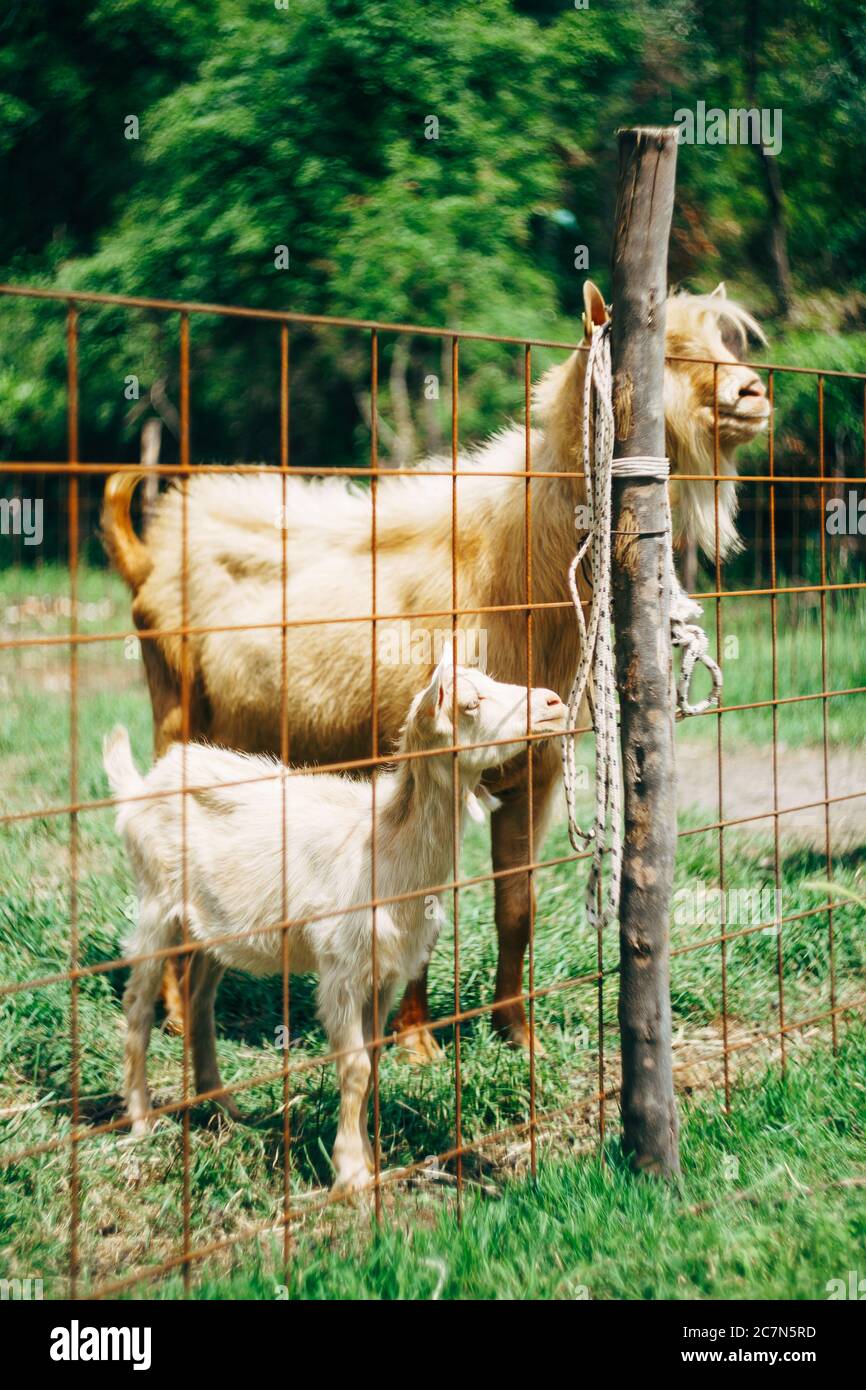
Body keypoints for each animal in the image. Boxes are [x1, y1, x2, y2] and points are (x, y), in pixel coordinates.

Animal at [102, 280, 770, 1058]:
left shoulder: (536, 773)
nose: (754, 392)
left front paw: (517, 1032)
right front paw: (417, 1042)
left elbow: (517, 905)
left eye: (726, 342)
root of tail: (150, 553)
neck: (512, 558)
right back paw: (178, 1017)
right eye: (663, 346)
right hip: (173, 707)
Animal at [104, 656, 567, 1192]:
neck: (385, 843)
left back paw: (222, 1109)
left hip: (212, 927)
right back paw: (141, 1120)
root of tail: (142, 788)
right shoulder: (341, 971)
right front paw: (350, 1173)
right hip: (156, 903)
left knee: (199, 1000)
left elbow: (374, 1062)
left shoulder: (383, 976)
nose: (554, 701)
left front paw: (369, 1156)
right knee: (138, 1004)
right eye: (472, 703)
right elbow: (355, 1067)